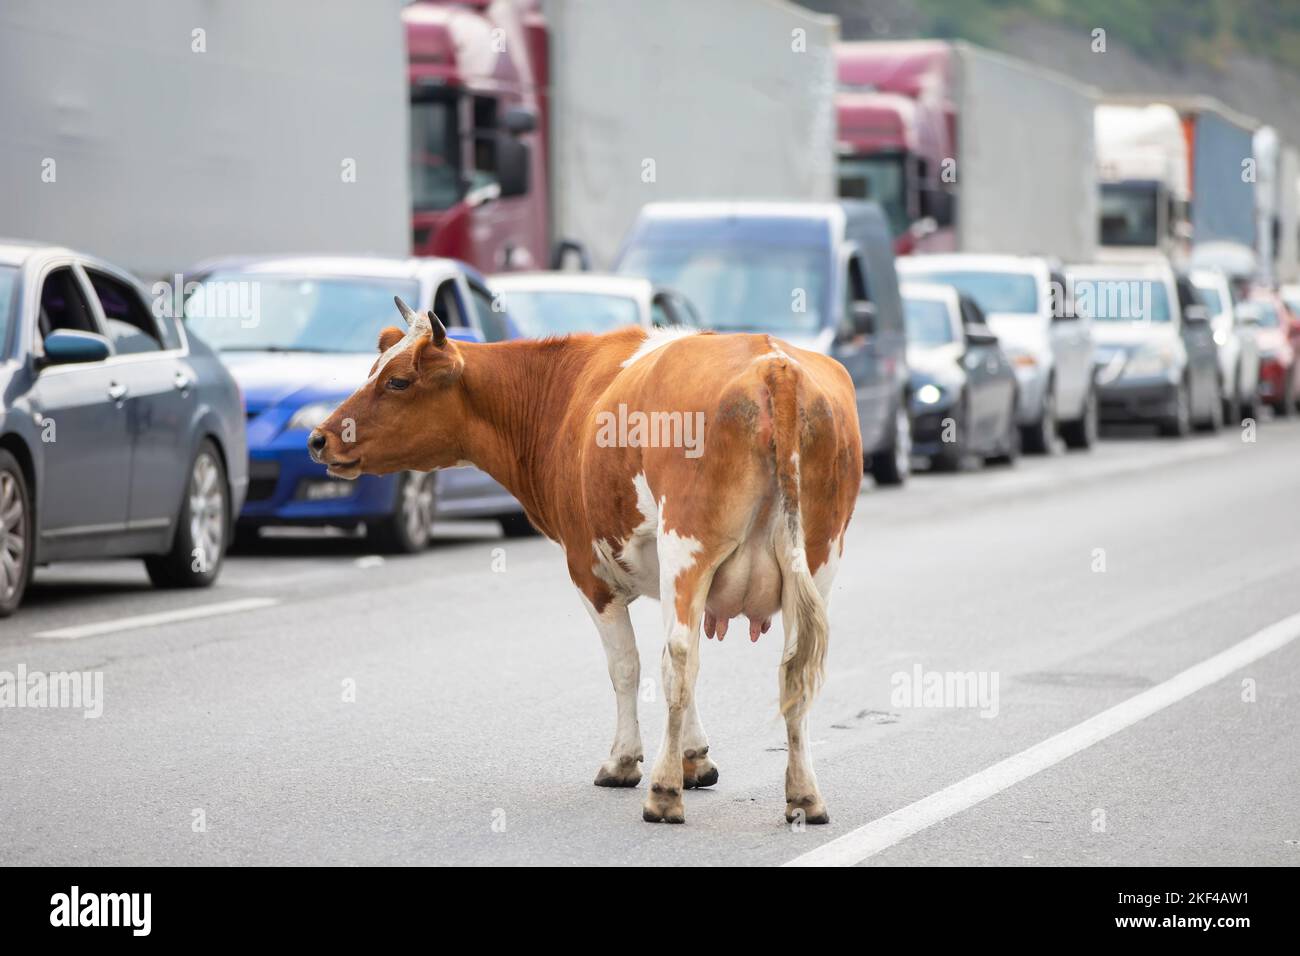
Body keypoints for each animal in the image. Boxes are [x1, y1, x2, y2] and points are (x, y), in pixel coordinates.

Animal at [308, 298, 863, 824]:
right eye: (374, 369)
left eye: (398, 381)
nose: (319, 438)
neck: (562, 393)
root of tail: (772, 363)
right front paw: (696, 758)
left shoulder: (589, 572)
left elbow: (627, 667)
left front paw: (626, 762)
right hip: (817, 559)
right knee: (792, 668)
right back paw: (804, 796)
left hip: (688, 547)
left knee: (680, 659)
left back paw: (663, 795)